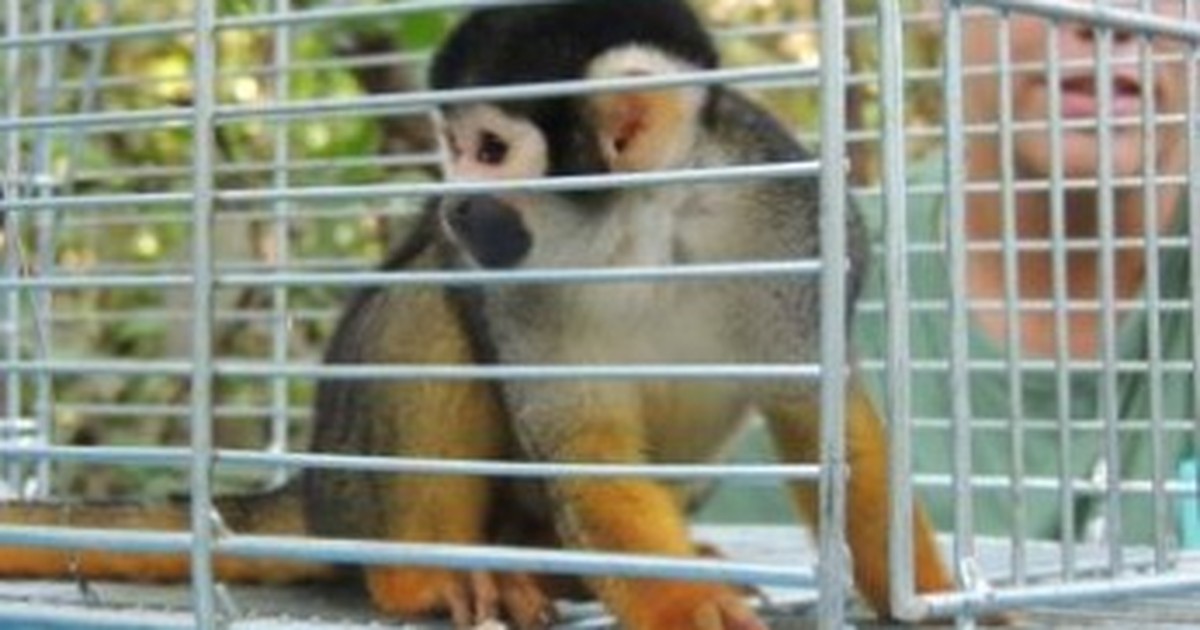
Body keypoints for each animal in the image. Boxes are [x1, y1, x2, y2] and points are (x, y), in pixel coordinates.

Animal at [0, 2, 954, 628]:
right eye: (450, 148)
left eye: (489, 150)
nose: (453, 205)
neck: (638, 226)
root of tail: (311, 489)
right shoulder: (515, 281)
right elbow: (581, 447)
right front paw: (682, 607)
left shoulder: (793, 224)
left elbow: (826, 427)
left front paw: (930, 598)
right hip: (357, 481)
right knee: (427, 305)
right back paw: (428, 579)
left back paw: (560, 570)